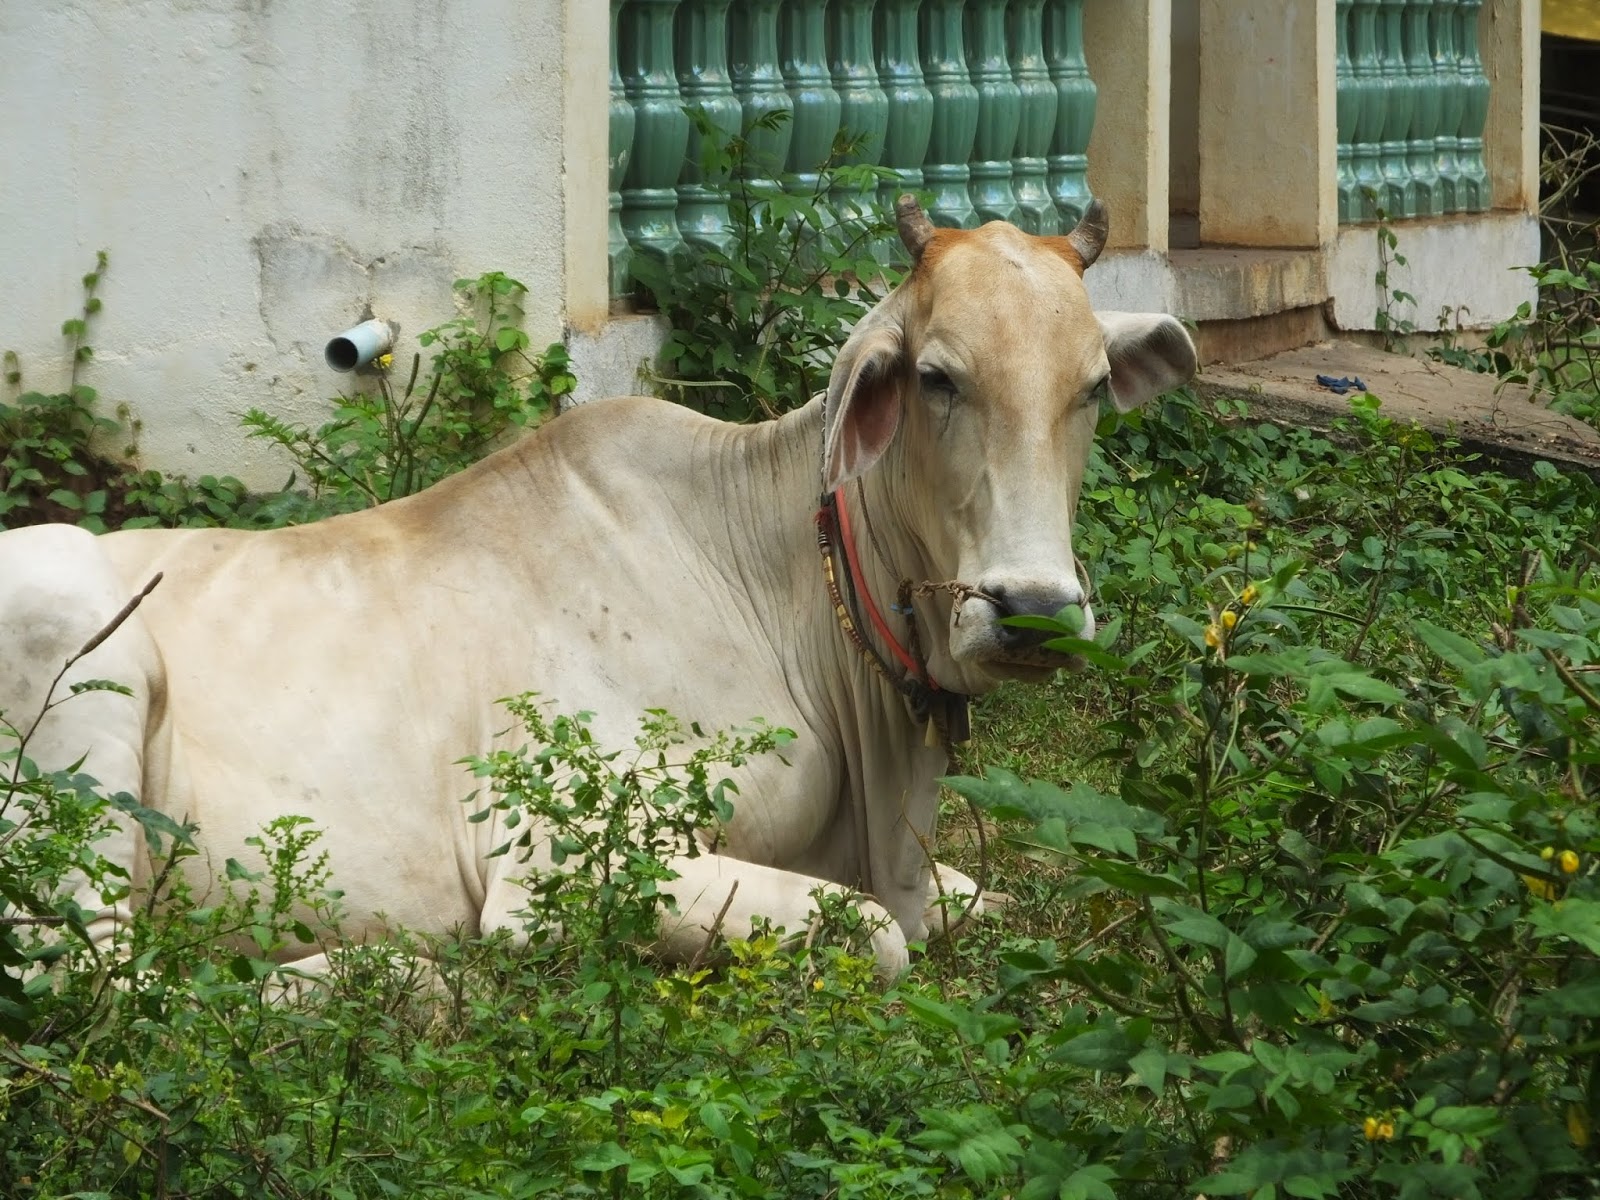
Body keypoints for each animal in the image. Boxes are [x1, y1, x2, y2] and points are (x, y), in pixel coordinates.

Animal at [0, 198, 1196, 979]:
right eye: (938, 378)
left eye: (1094, 385)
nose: (1033, 611)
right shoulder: (563, 862)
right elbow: (874, 933)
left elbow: (975, 901)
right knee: (99, 978)